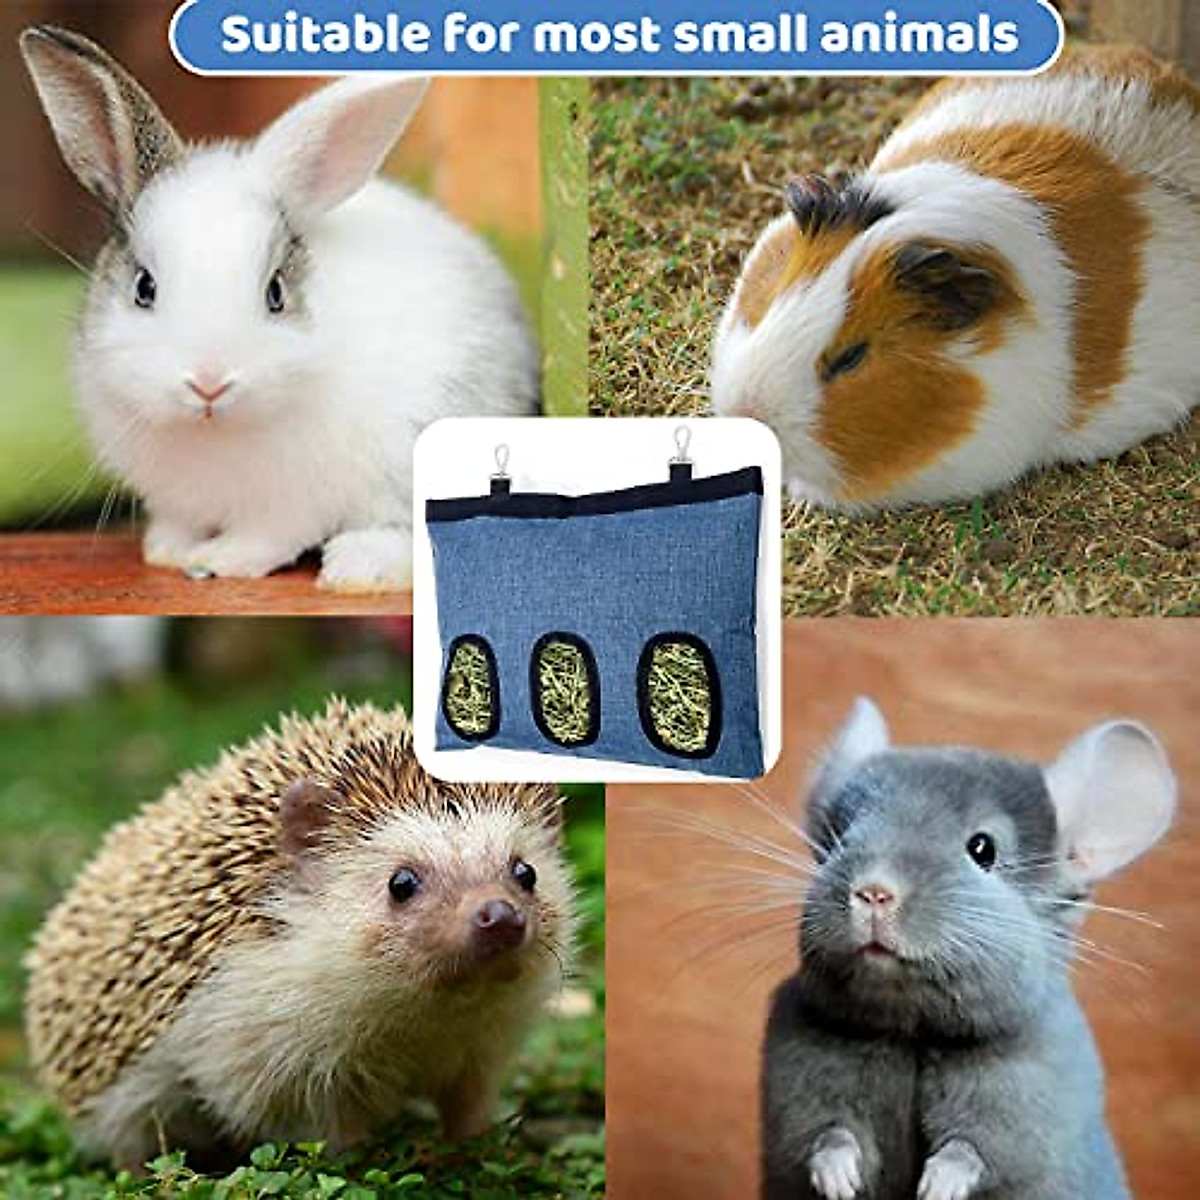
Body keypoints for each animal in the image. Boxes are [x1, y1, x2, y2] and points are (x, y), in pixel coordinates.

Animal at [19, 26, 538, 591]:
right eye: (144, 287)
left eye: (275, 294)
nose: (208, 382)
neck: (212, 430)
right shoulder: (176, 499)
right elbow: (179, 523)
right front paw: (166, 552)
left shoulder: (294, 503)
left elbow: (268, 538)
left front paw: (219, 560)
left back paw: (356, 568)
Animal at [762, 697, 1177, 1200]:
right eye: (838, 839)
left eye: (983, 850)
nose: (874, 891)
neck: (915, 1033)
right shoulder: (802, 1091)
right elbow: (827, 1135)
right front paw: (839, 1182)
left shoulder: (1021, 1113)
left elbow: (971, 1151)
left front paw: (936, 1188)